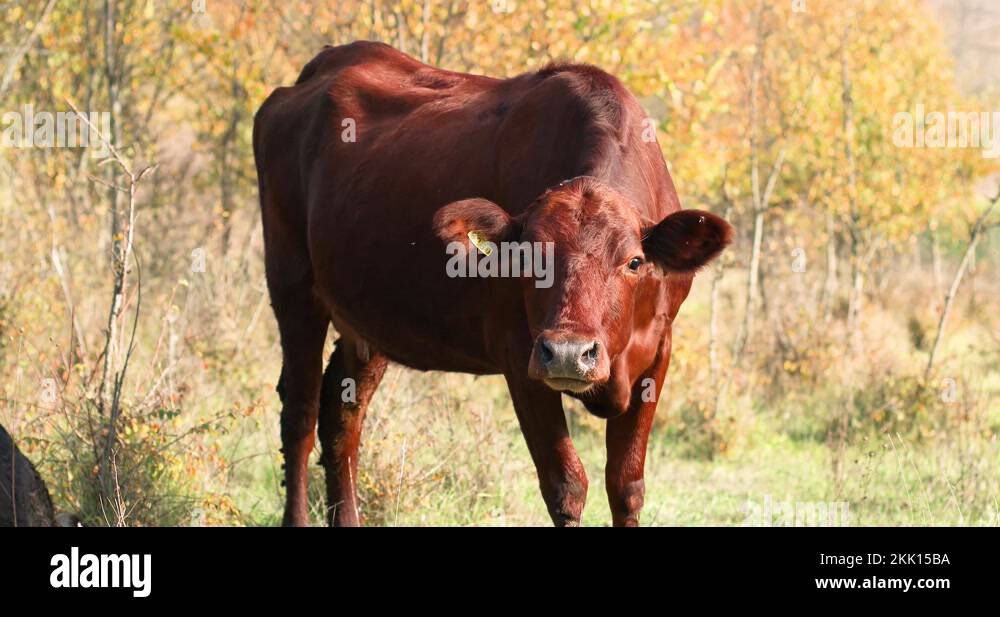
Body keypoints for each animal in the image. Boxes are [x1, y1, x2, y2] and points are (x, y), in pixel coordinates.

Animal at [253, 41, 732, 527]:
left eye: (635, 262)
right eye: (528, 256)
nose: (568, 353)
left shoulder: (658, 352)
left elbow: (626, 486)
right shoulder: (519, 352)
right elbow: (566, 484)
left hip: (363, 318)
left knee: (342, 416)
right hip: (292, 283)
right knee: (299, 415)